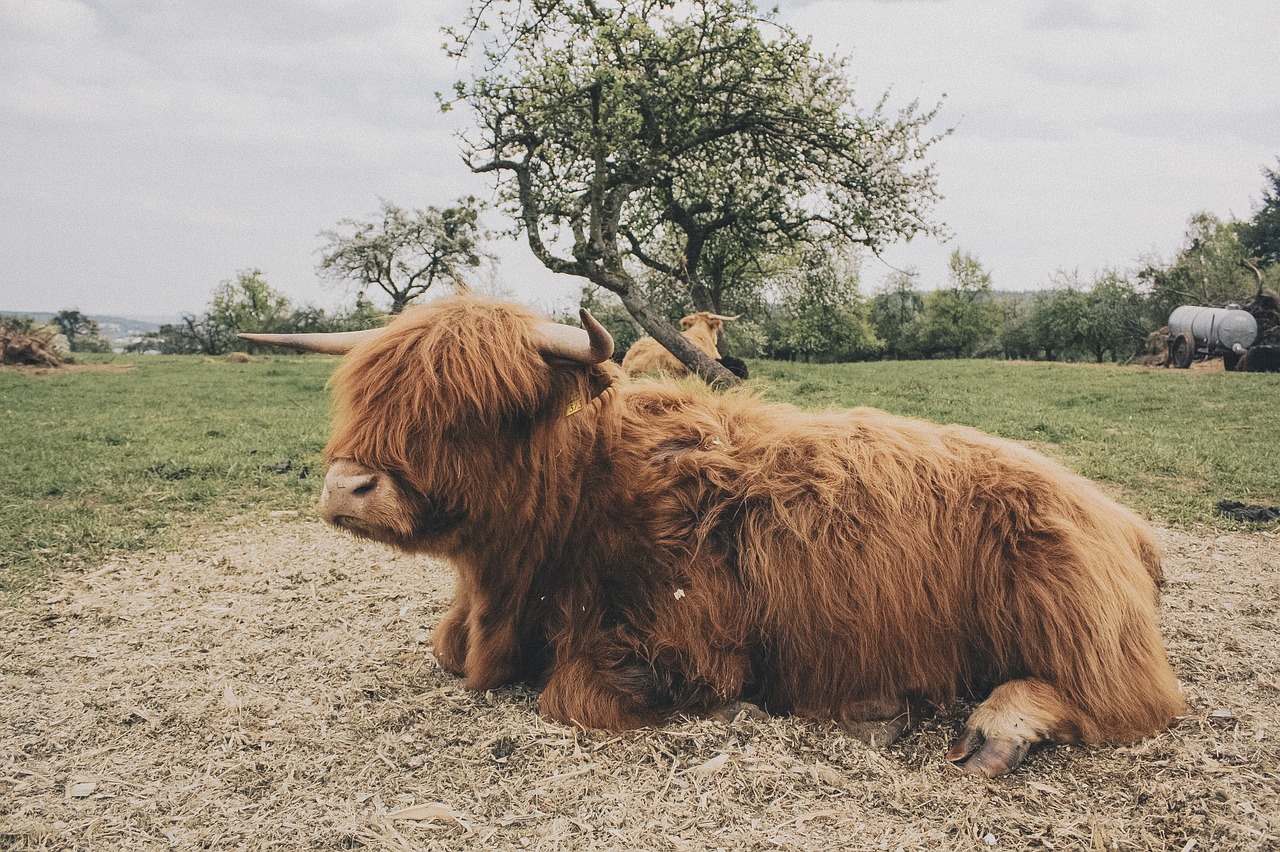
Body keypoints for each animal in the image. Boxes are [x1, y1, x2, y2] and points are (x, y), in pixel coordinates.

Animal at [241, 296, 1187, 777]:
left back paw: (988, 728)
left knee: (1129, 700)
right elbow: (443, 654)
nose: (349, 487)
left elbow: (571, 697)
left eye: (483, 406)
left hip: (1072, 612)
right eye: (367, 389)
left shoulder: (683, 648)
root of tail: (1119, 517)